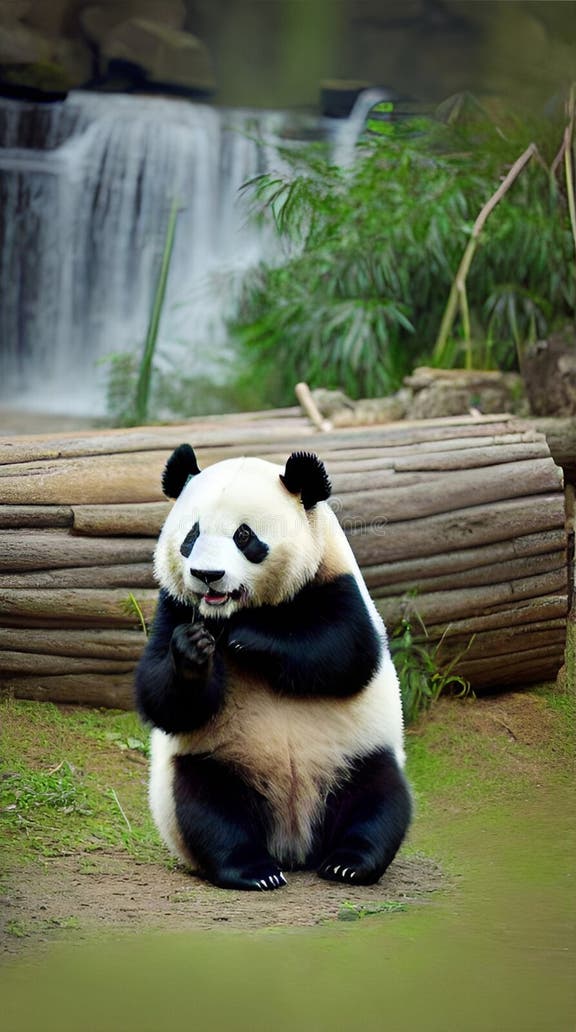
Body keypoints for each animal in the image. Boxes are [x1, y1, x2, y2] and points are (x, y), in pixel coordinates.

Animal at [135, 444, 411, 891]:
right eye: (191, 537)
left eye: (244, 536)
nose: (207, 575)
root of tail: (293, 841)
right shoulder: (173, 606)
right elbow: (161, 697)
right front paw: (195, 649)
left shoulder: (334, 582)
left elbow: (345, 649)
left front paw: (244, 636)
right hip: (212, 764)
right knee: (207, 811)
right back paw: (253, 870)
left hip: (357, 756)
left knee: (379, 800)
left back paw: (349, 863)